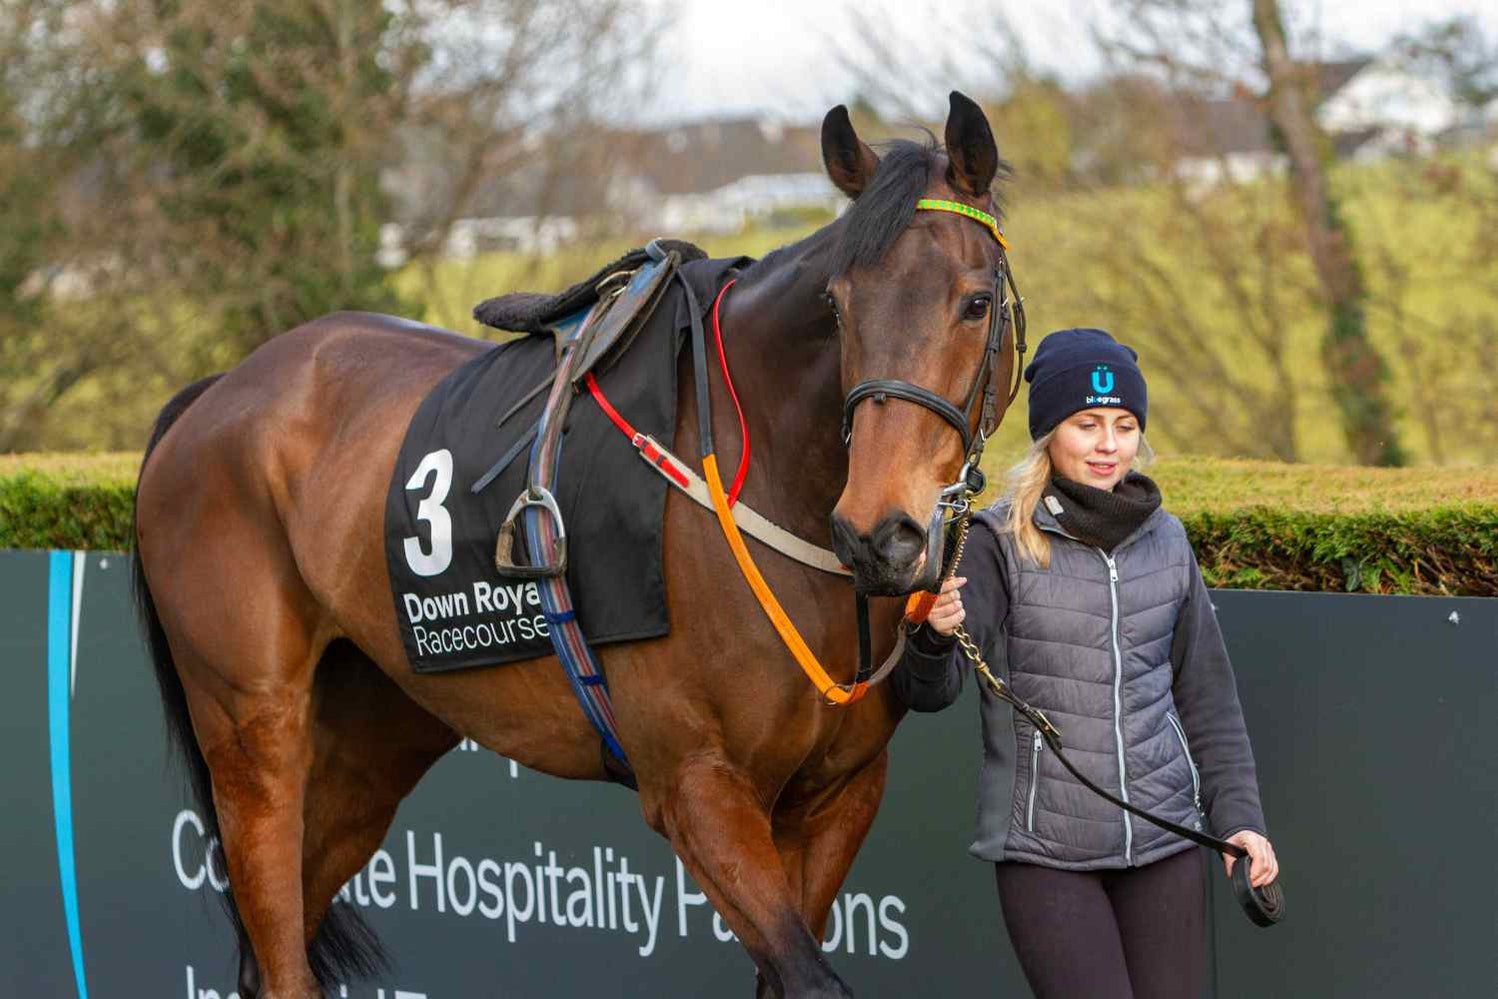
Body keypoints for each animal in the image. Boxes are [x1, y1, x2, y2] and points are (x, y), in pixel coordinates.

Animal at [132, 92, 1018, 999]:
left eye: (975, 302)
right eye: (837, 307)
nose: (879, 532)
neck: (769, 478)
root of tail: (218, 392)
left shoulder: (840, 792)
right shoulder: (697, 786)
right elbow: (809, 974)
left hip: (371, 732)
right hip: (254, 730)